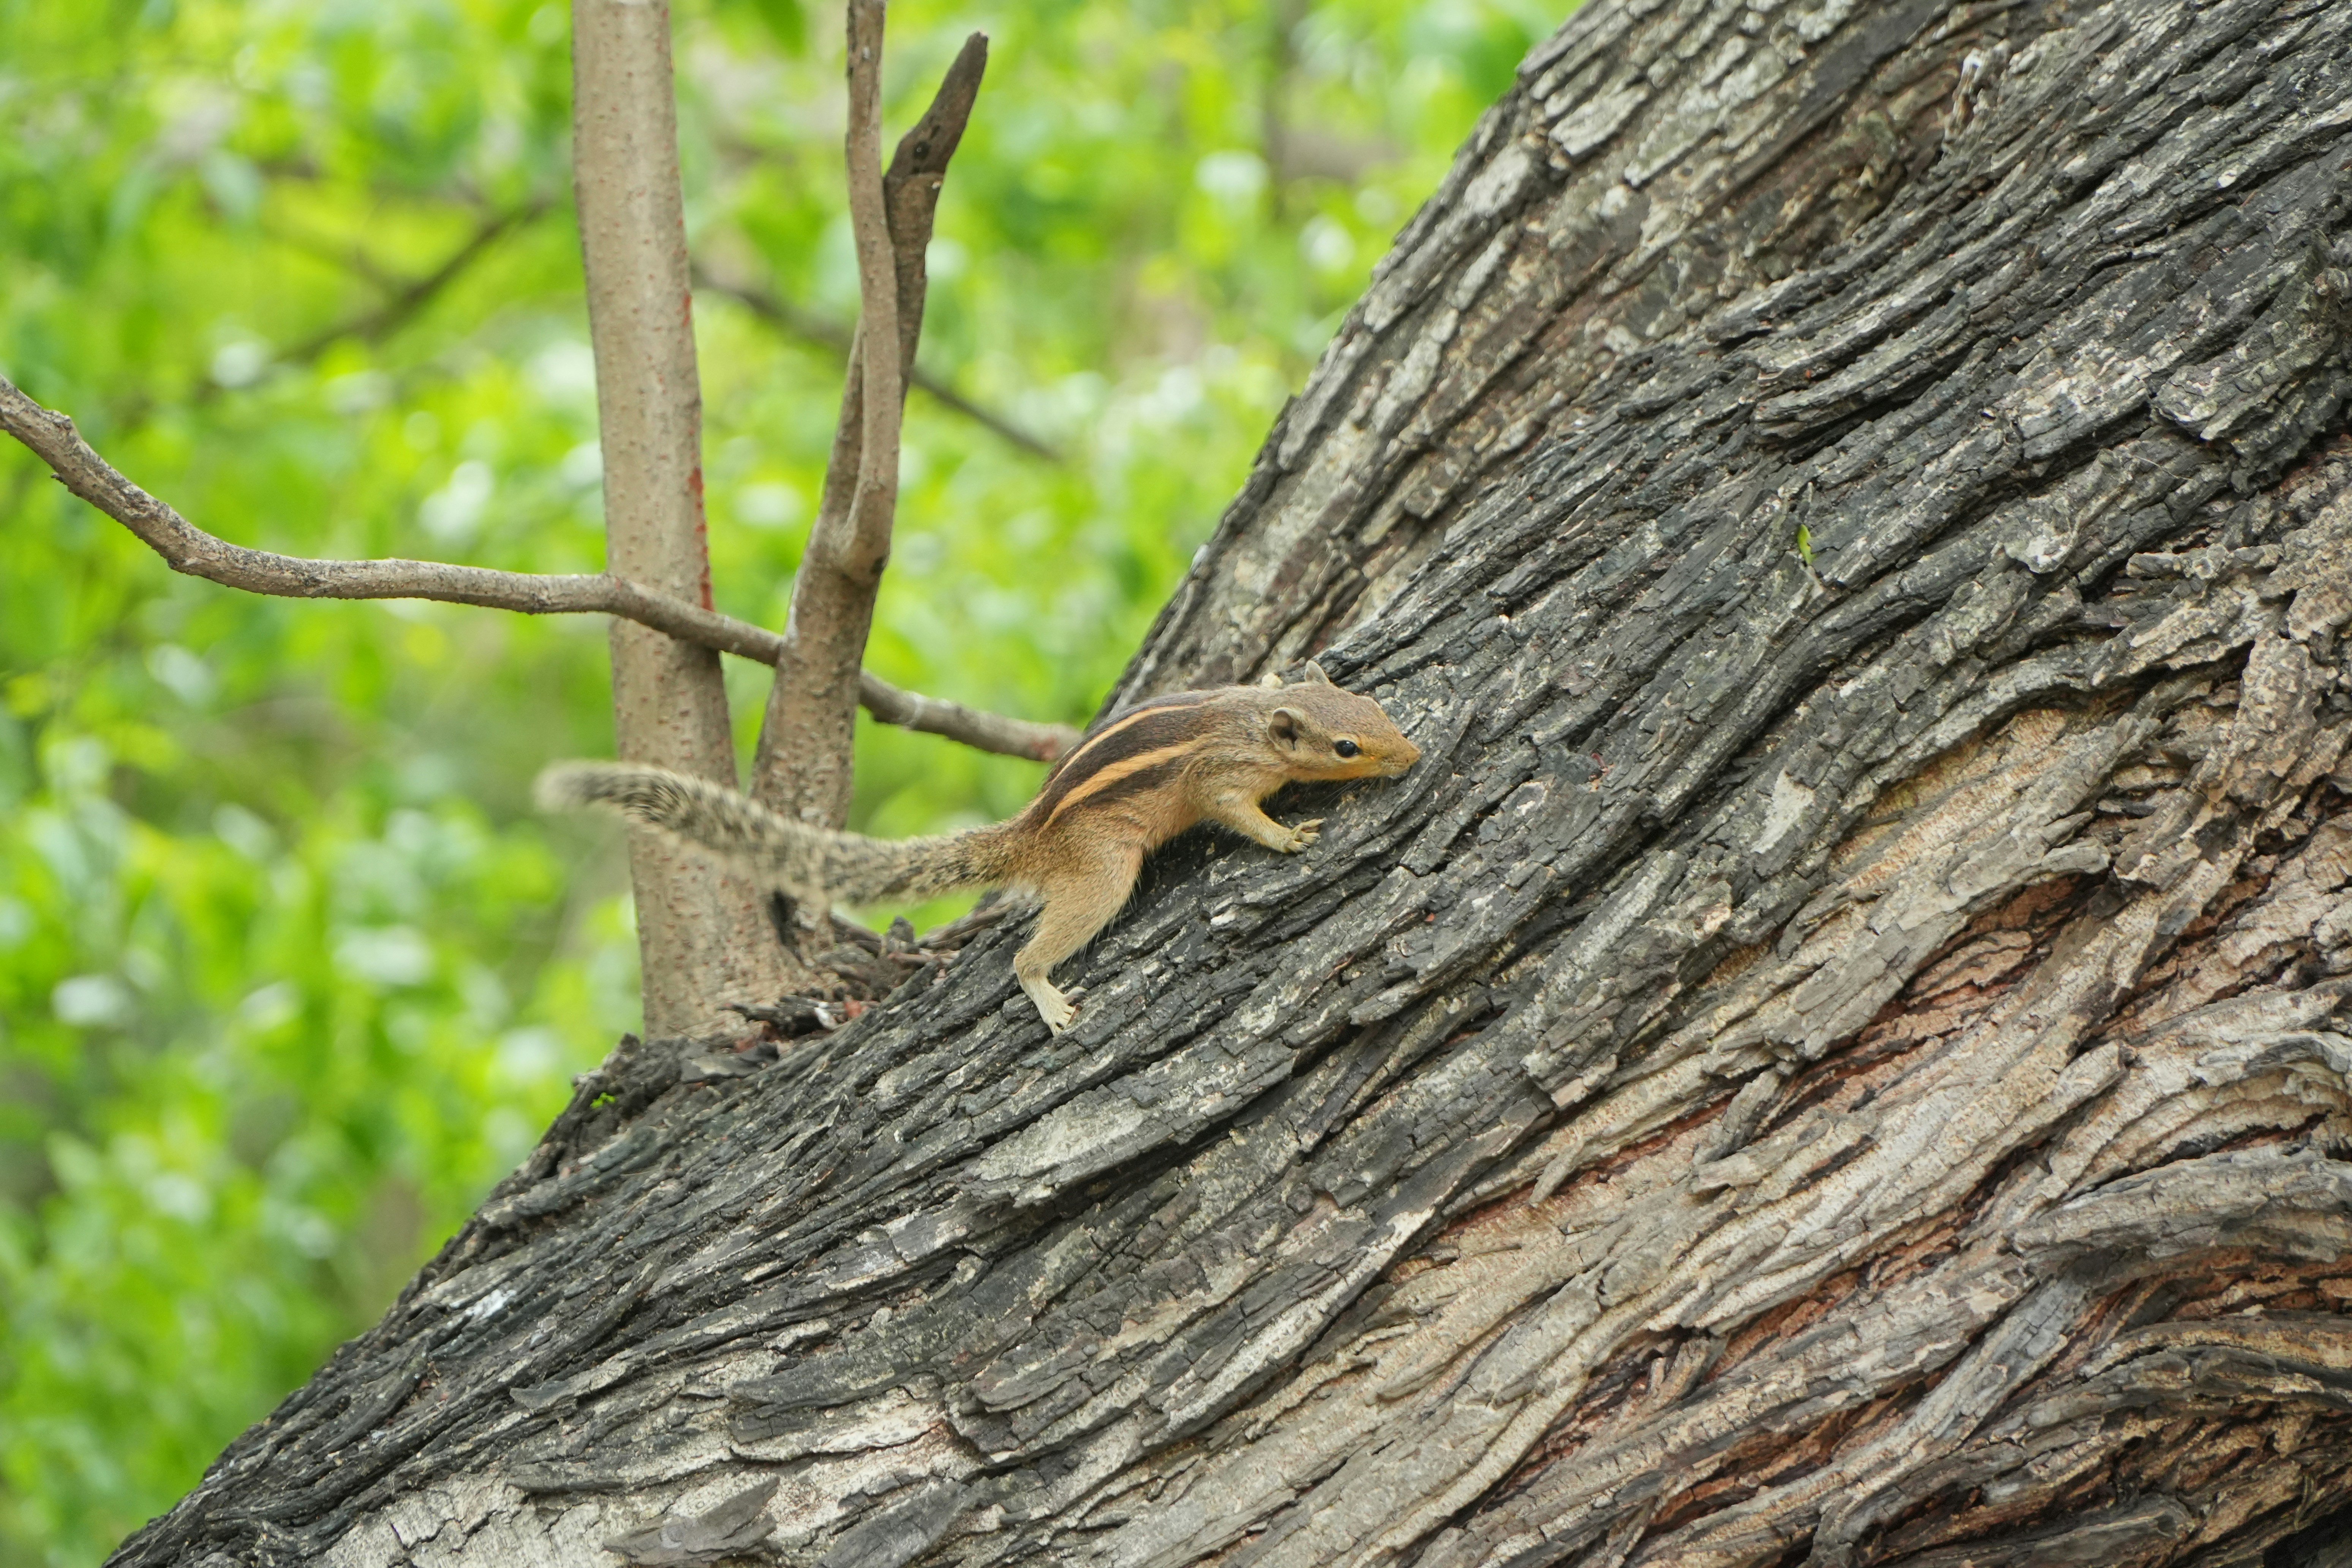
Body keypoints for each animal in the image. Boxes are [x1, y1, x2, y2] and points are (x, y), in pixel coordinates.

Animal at [538, 662, 1421, 1034]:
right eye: (1347, 746)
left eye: (1374, 705)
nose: (1410, 756)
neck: (1250, 724)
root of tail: (1030, 833)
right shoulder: (1221, 778)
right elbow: (1236, 815)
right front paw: (1289, 835)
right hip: (1102, 873)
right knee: (1028, 954)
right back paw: (1048, 997)